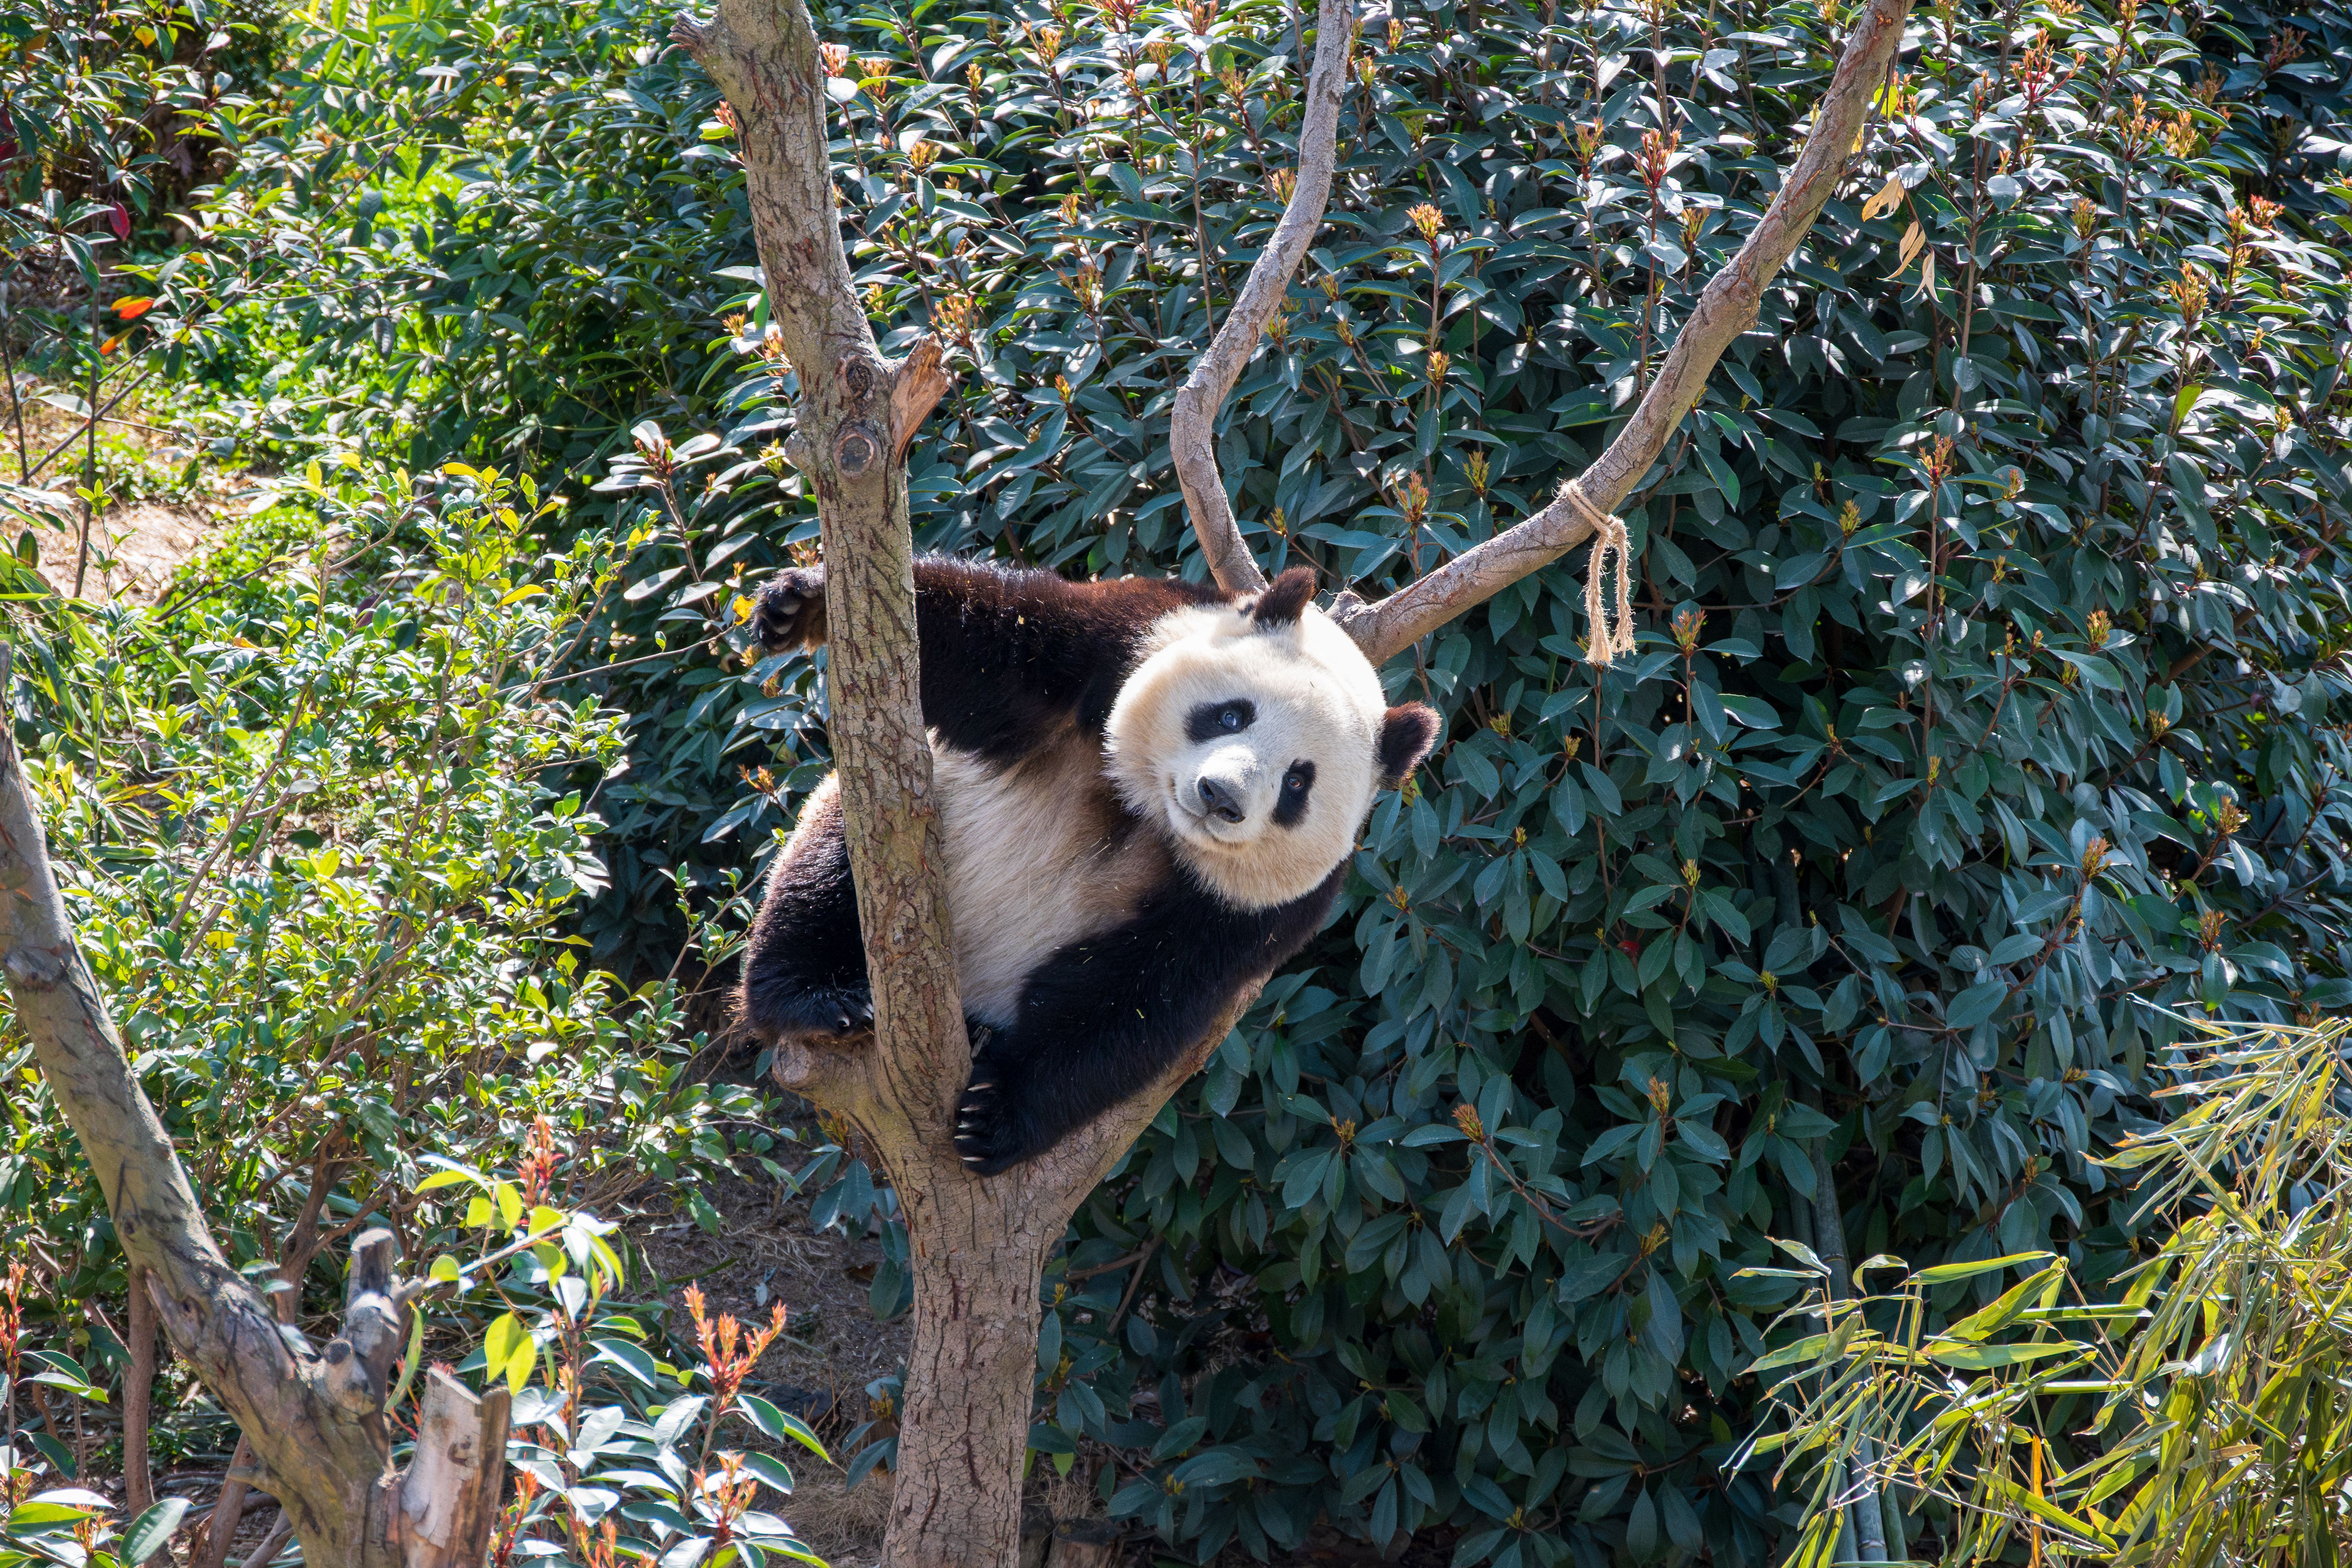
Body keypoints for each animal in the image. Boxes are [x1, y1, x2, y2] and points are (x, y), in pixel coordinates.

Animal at [736, 556, 1440, 1175]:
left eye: (1298, 782)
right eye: (1231, 714)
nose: (1221, 797)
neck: (1148, 812)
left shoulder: (1263, 908)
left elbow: (1138, 1000)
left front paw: (996, 1114)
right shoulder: (1123, 640)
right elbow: (988, 637)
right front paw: (801, 603)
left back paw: (976, 1037)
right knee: (826, 874)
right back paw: (818, 998)